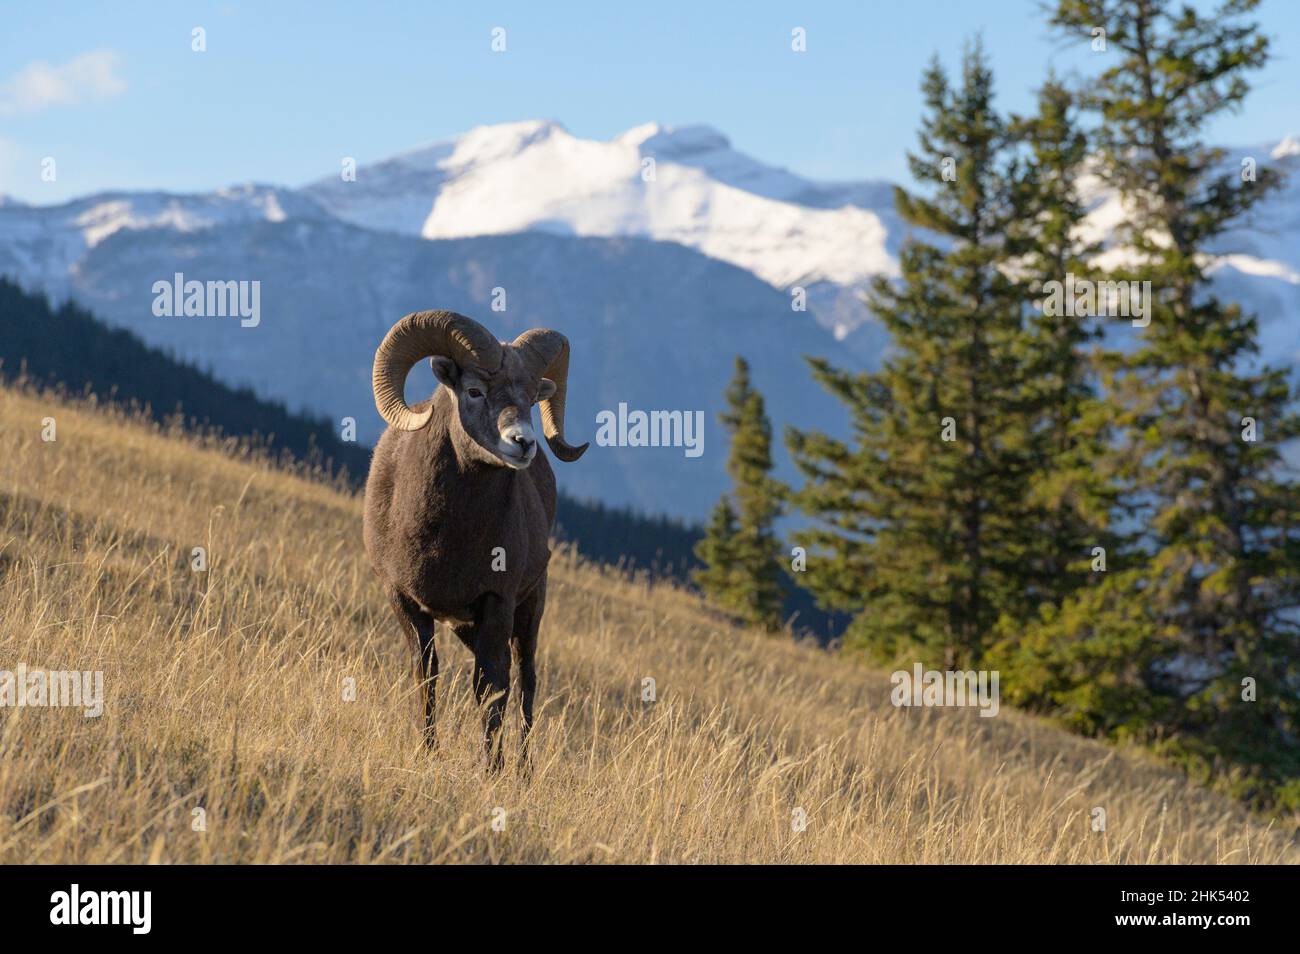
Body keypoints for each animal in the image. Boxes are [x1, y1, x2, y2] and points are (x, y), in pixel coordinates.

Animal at [362, 310, 588, 768]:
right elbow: (426, 676)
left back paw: (523, 768)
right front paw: (427, 752)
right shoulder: (405, 601)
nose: (523, 443)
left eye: (530, 399)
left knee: (525, 681)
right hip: (465, 625)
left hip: (529, 611)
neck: (446, 540)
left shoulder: (496, 603)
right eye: (474, 391)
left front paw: (492, 768)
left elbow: (491, 688)